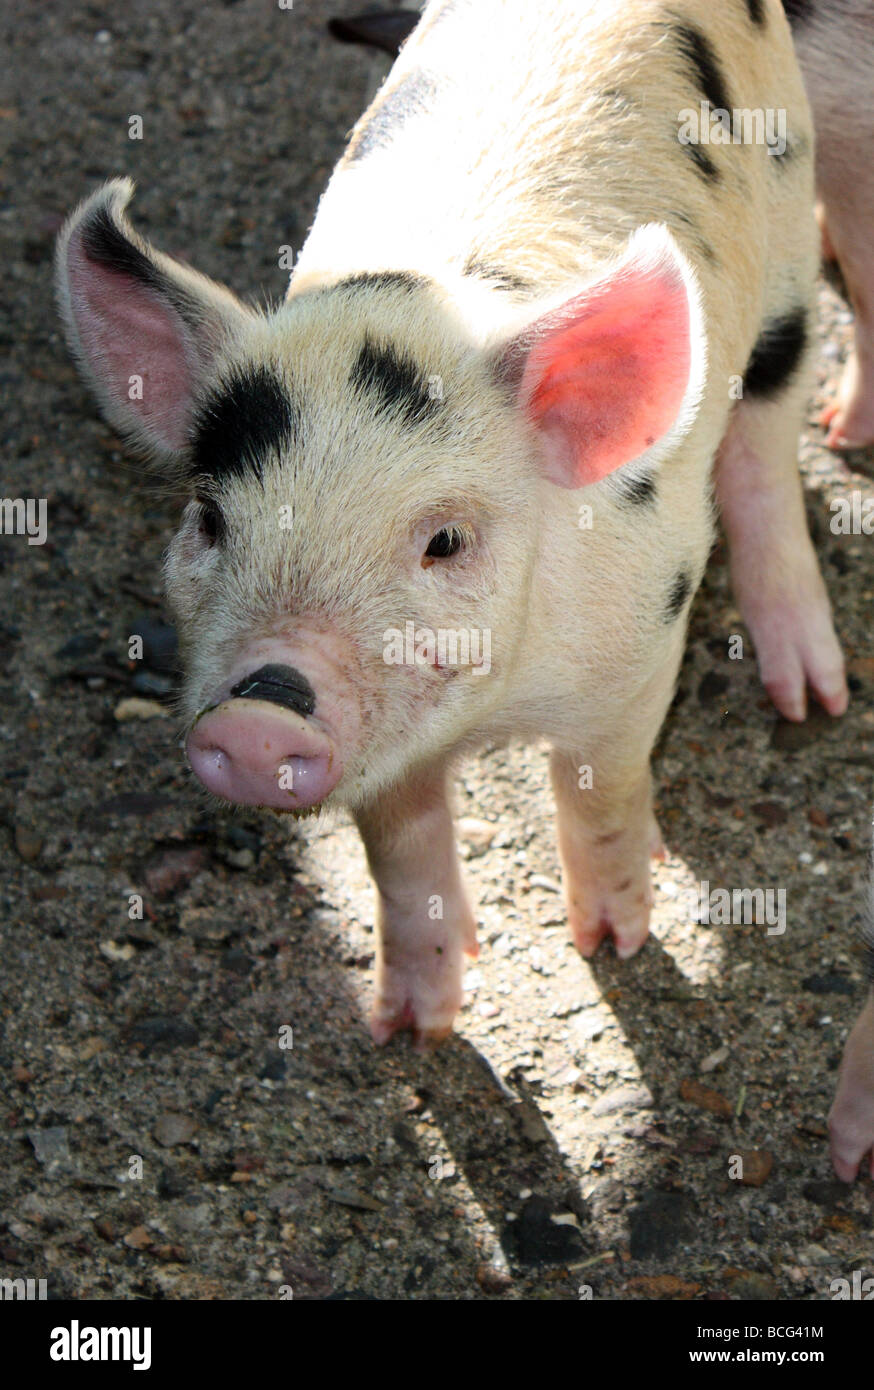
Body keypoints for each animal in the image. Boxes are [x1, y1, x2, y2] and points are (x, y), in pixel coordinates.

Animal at [56, 0, 848, 1046]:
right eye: (209, 517)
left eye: (445, 541)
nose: (263, 717)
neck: (493, 709)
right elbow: (400, 855)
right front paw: (411, 1027)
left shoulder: (641, 650)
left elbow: (604, 792)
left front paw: (614, 943)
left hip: (790, 231)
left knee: (765, 445)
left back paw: (810, 696)